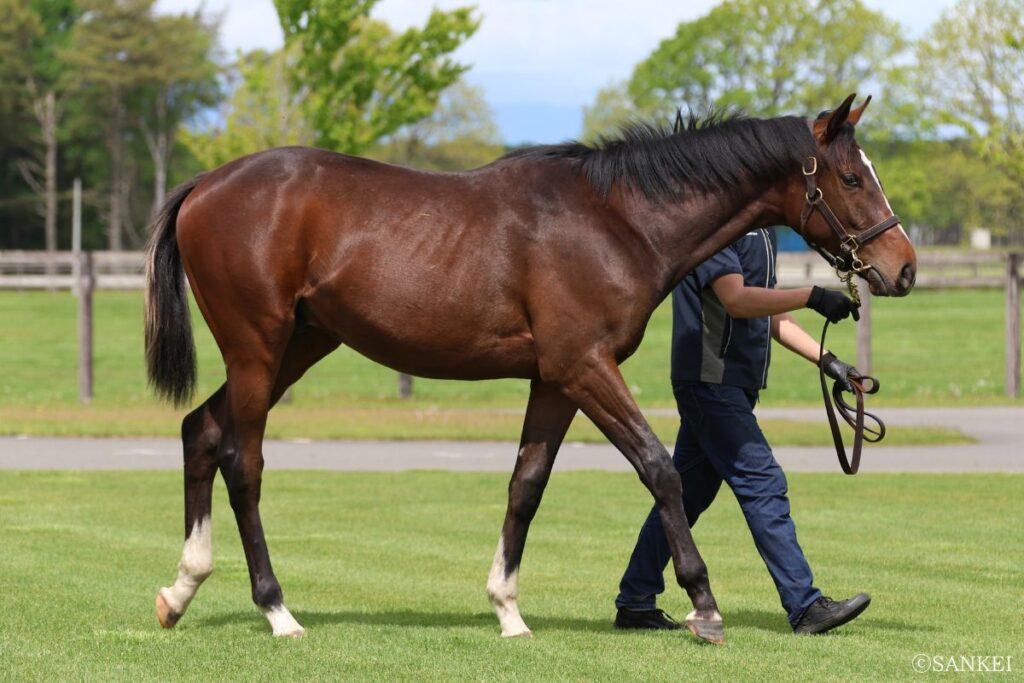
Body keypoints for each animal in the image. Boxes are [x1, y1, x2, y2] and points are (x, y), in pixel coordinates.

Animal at [146, 93, 915, 644]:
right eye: (852, 177)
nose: (903, 267)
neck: (615, 219)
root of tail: (207, 184)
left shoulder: (554, 380)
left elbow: (527, 485)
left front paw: (508, 609)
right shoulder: (586, 368)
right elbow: (659, 469)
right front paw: (703, 603)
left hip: (299, 346)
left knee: (201, 431)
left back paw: (181, 589)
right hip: (258, 347)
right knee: (244, 463)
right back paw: (277, 611)